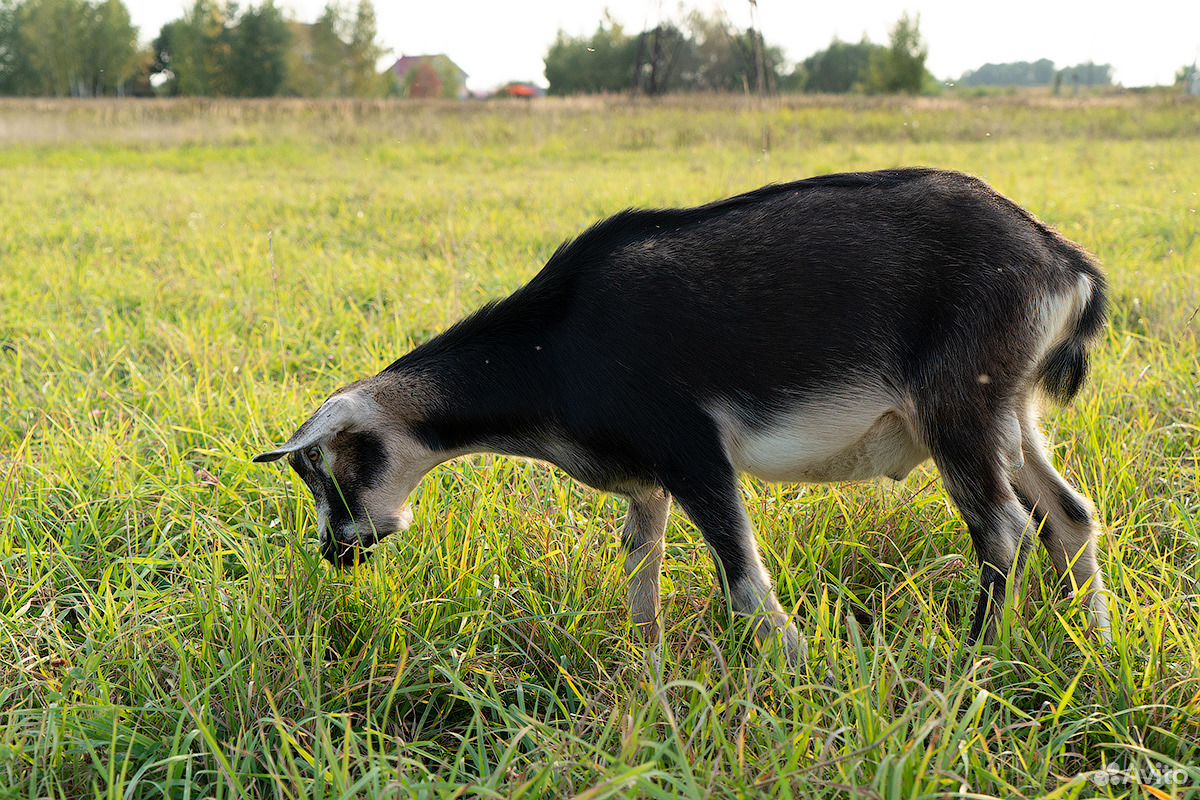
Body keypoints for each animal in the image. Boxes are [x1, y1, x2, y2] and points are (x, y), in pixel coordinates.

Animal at [254, 168, 1111, 662]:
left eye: (332, 468)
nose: (334, 551)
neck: (554, 342)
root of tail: (1061, 259)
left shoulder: (696, 455)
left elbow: (745, 585)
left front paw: (801, 674)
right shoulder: (648, 482)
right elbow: (640, 576)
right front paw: (651, 682)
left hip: (956, 411)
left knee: (1003, 528)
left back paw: (974, 661)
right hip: (1009, 413)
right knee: (1069, 514)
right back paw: (1094, 646)